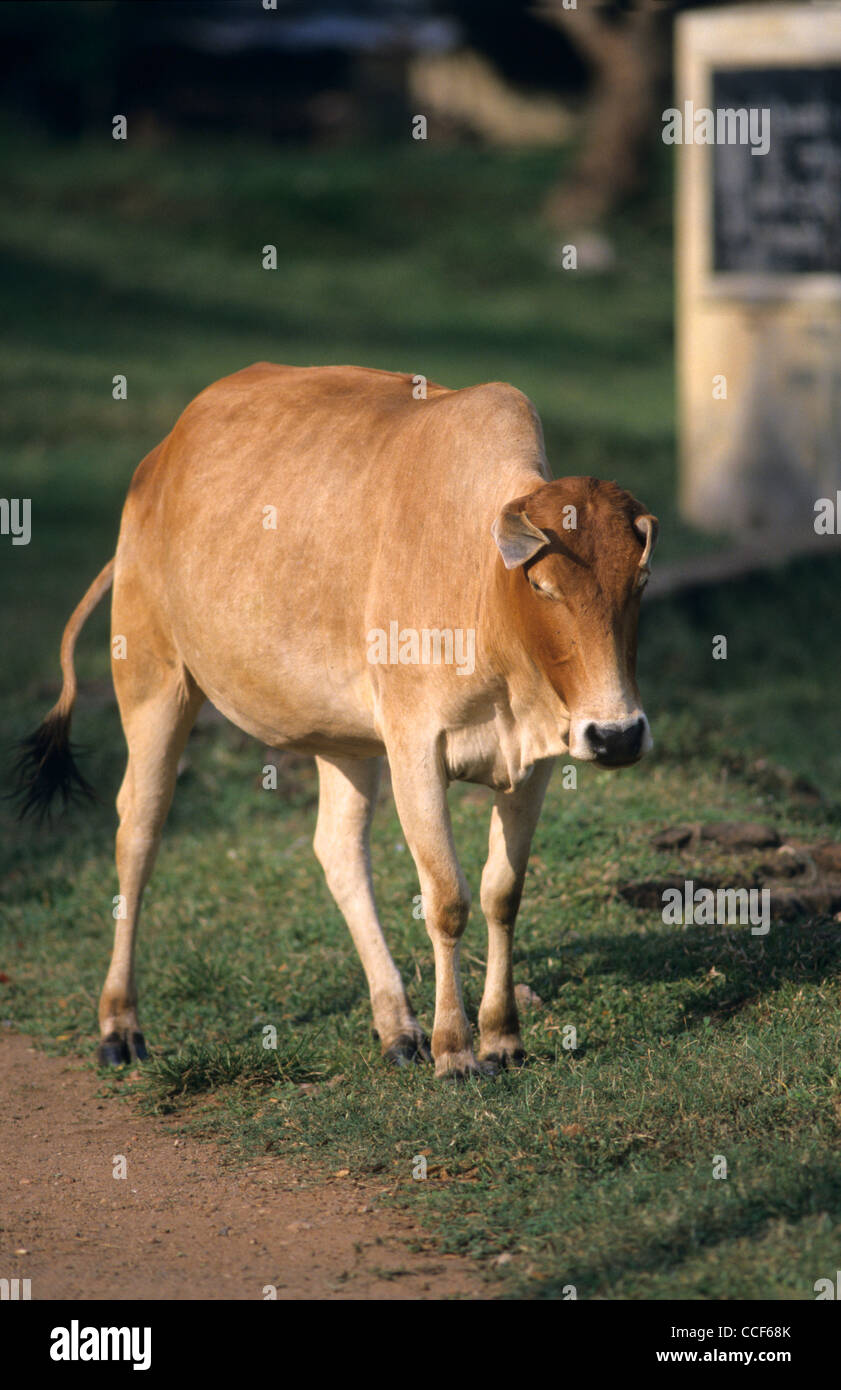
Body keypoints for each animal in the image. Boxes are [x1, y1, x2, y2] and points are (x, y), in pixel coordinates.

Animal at [15, 363, 658, 1078]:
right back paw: (120, 1023)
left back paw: (396, 1025)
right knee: (139, 833)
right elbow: (447, 900)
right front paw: (456, 1049)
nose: (618, 734)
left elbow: (501, 894)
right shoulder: (414, 746)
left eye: (640, 581)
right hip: (153, 682)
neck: (482, 589)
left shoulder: (536, 759)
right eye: (544, 588)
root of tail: (160, 457)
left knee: (338, 850)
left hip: (342, 739)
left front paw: (501, 1036)